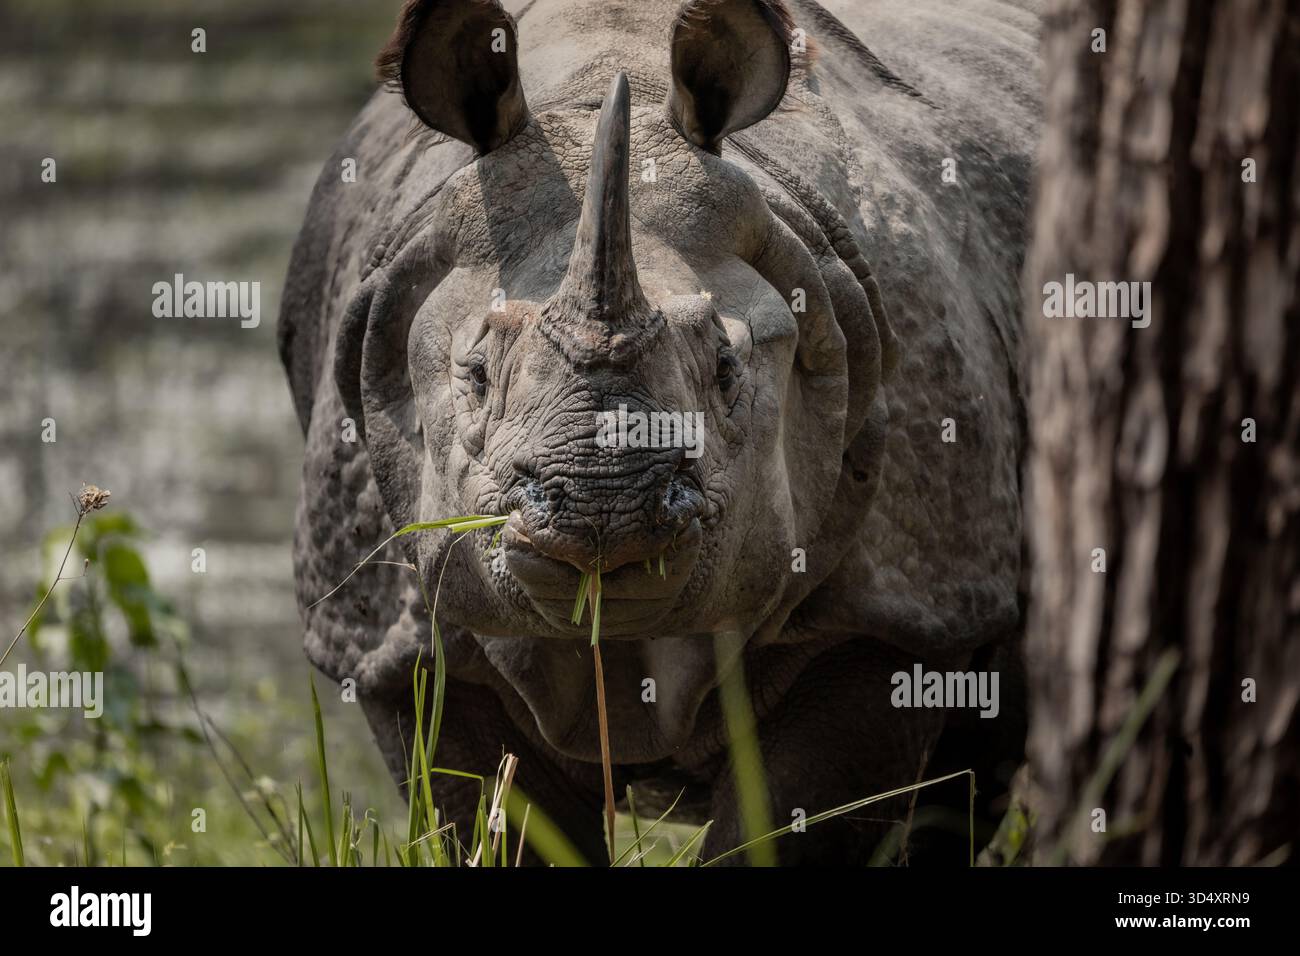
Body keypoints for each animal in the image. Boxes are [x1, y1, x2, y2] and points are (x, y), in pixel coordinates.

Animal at [278, 0, 1038, 864]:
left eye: (728, 370)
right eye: (473, 375)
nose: (602, 511)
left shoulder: (899, 608)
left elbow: (796, 820)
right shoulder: (389, 640)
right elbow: (489, 814)